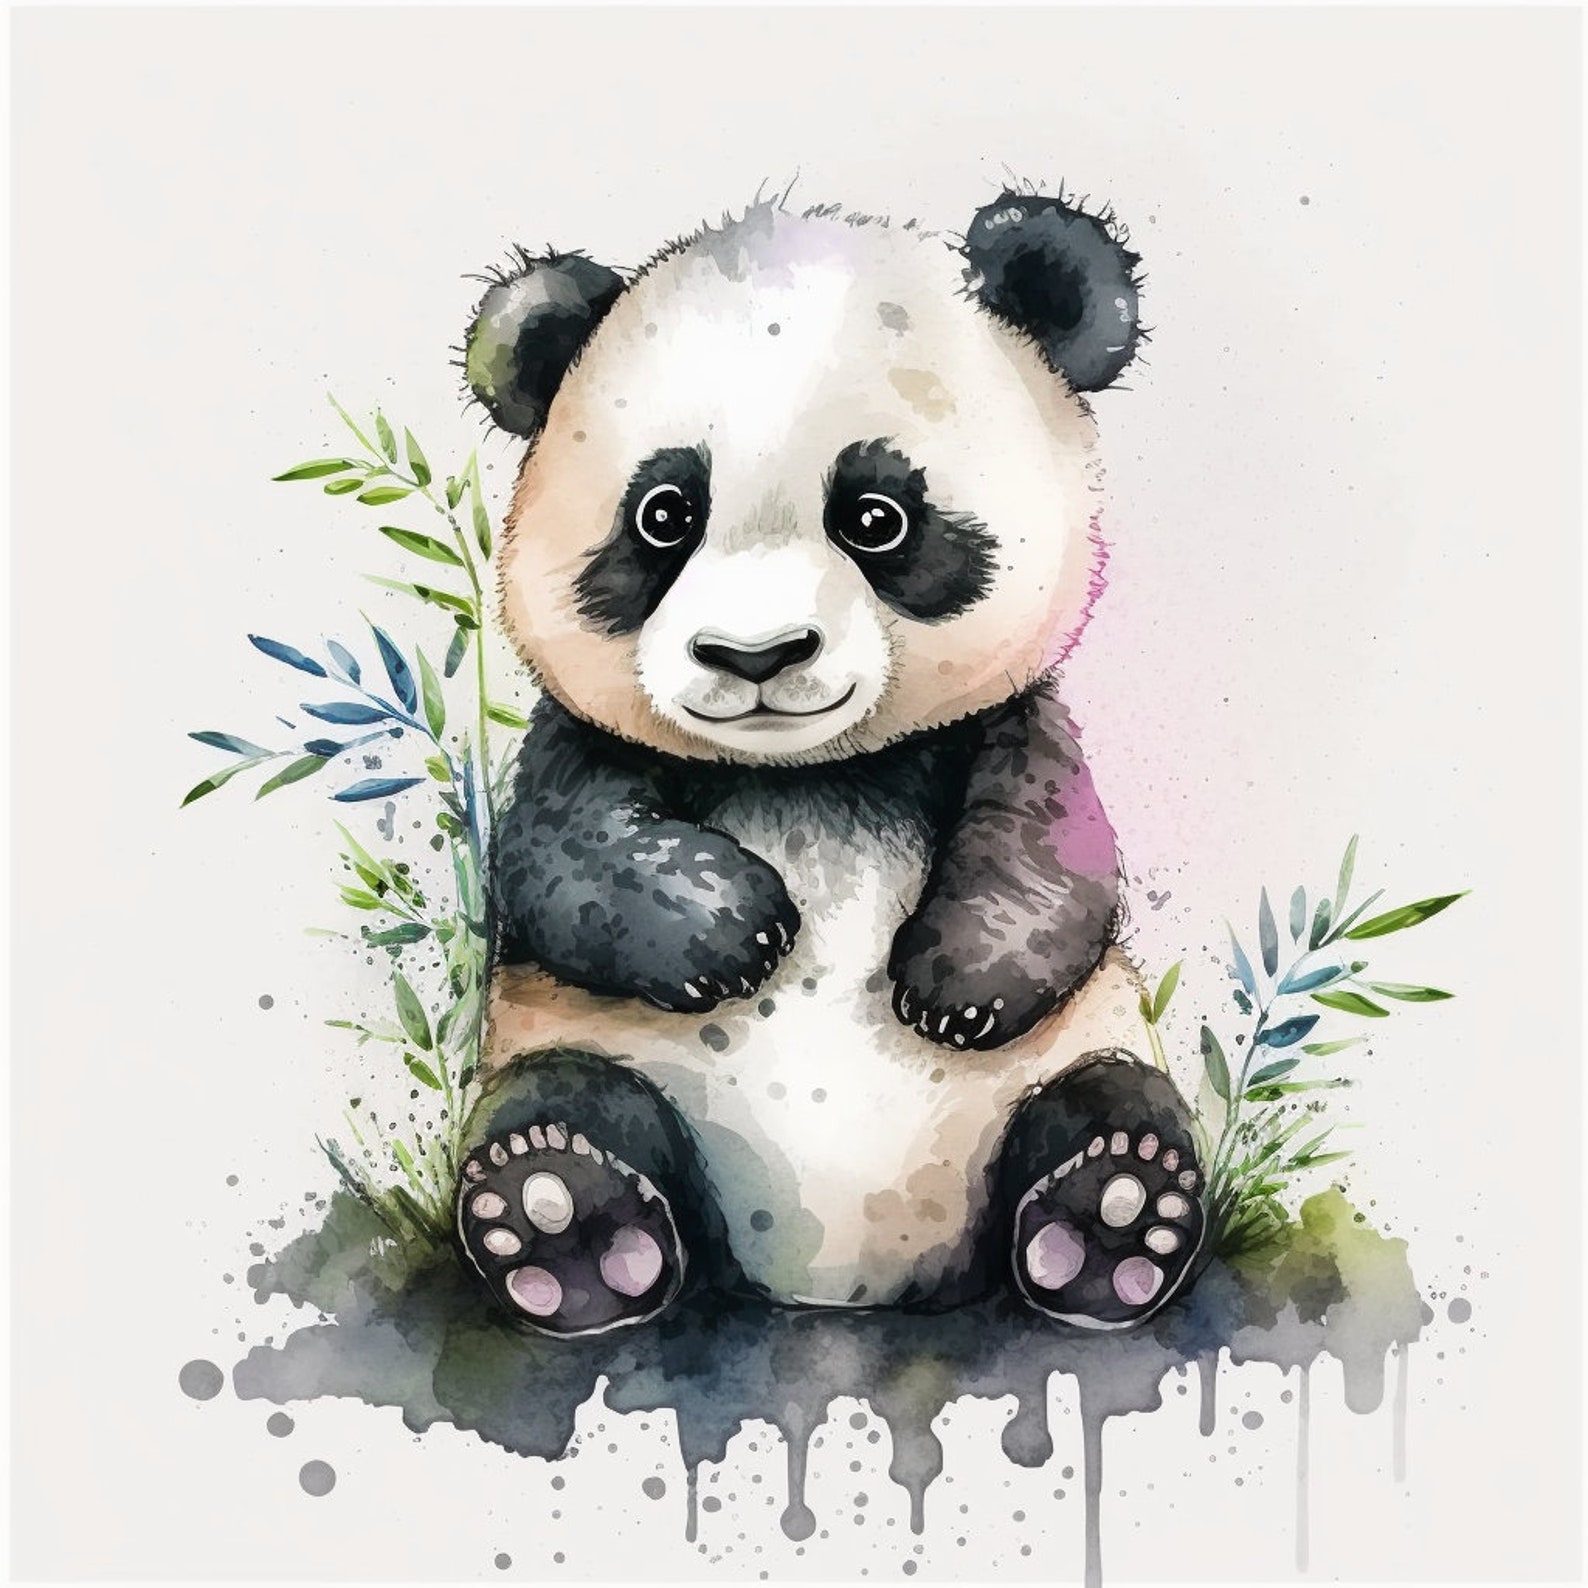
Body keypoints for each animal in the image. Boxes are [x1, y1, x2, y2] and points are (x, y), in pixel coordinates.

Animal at [451, 187, 1206, 1338]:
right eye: (664, 515)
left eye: (875, 516)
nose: (756, 656)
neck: (807, 773)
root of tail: (839, 1279)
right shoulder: (581, 742)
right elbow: (558, 857)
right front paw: (736, 930)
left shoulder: (1009, 721)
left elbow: (1054, 845)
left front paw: (953, 986)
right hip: (578, 1045)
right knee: (569, 1100)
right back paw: (561, 1217)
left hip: (1078, 1049)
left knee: (1103, 1097)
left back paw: (1111, 1212)